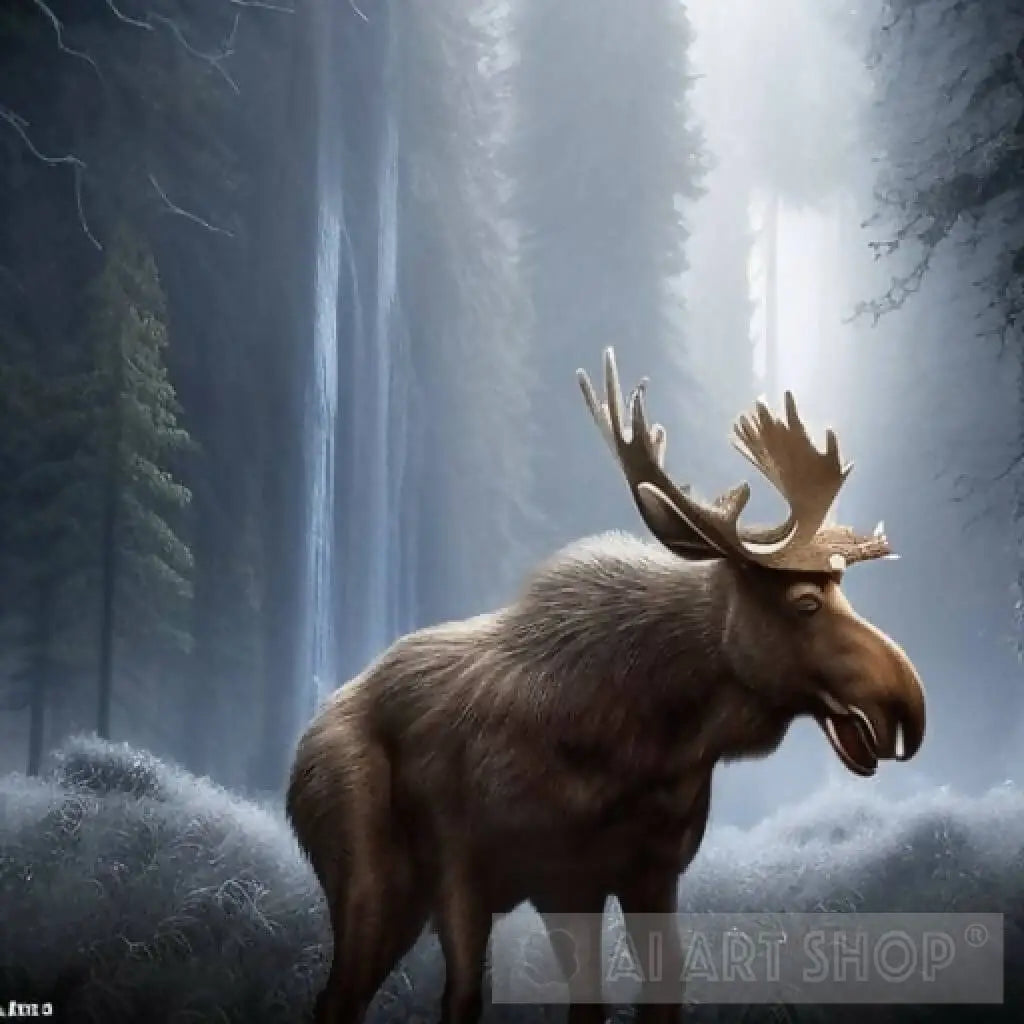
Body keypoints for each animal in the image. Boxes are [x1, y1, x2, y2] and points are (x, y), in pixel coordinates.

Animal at [286, 347, 926, 1024]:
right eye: (806, 602)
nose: (905, 705)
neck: (657, 744)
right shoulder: (510, 878)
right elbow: (482, 999)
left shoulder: (646, 874)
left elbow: (656, 990)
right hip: (372, 881)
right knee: (340, 996)